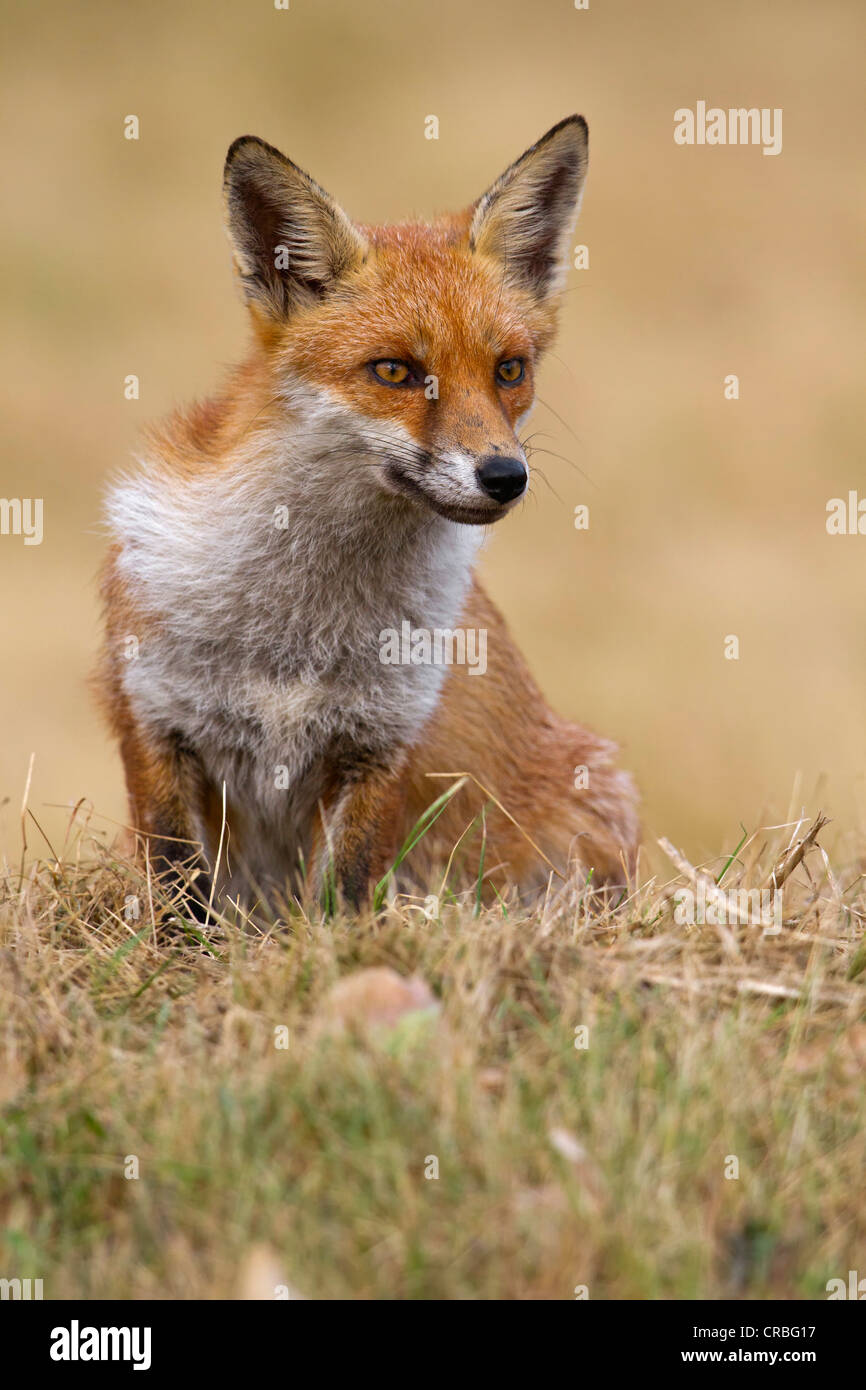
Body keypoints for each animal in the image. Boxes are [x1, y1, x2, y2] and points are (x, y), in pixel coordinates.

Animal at [97, 115, 640, 913]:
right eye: (395, 372)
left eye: (509, 370)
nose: (505, 476)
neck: (300, 622)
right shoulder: (155, 719)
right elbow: (178, 890)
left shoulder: (381, 741)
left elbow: (342, 894)